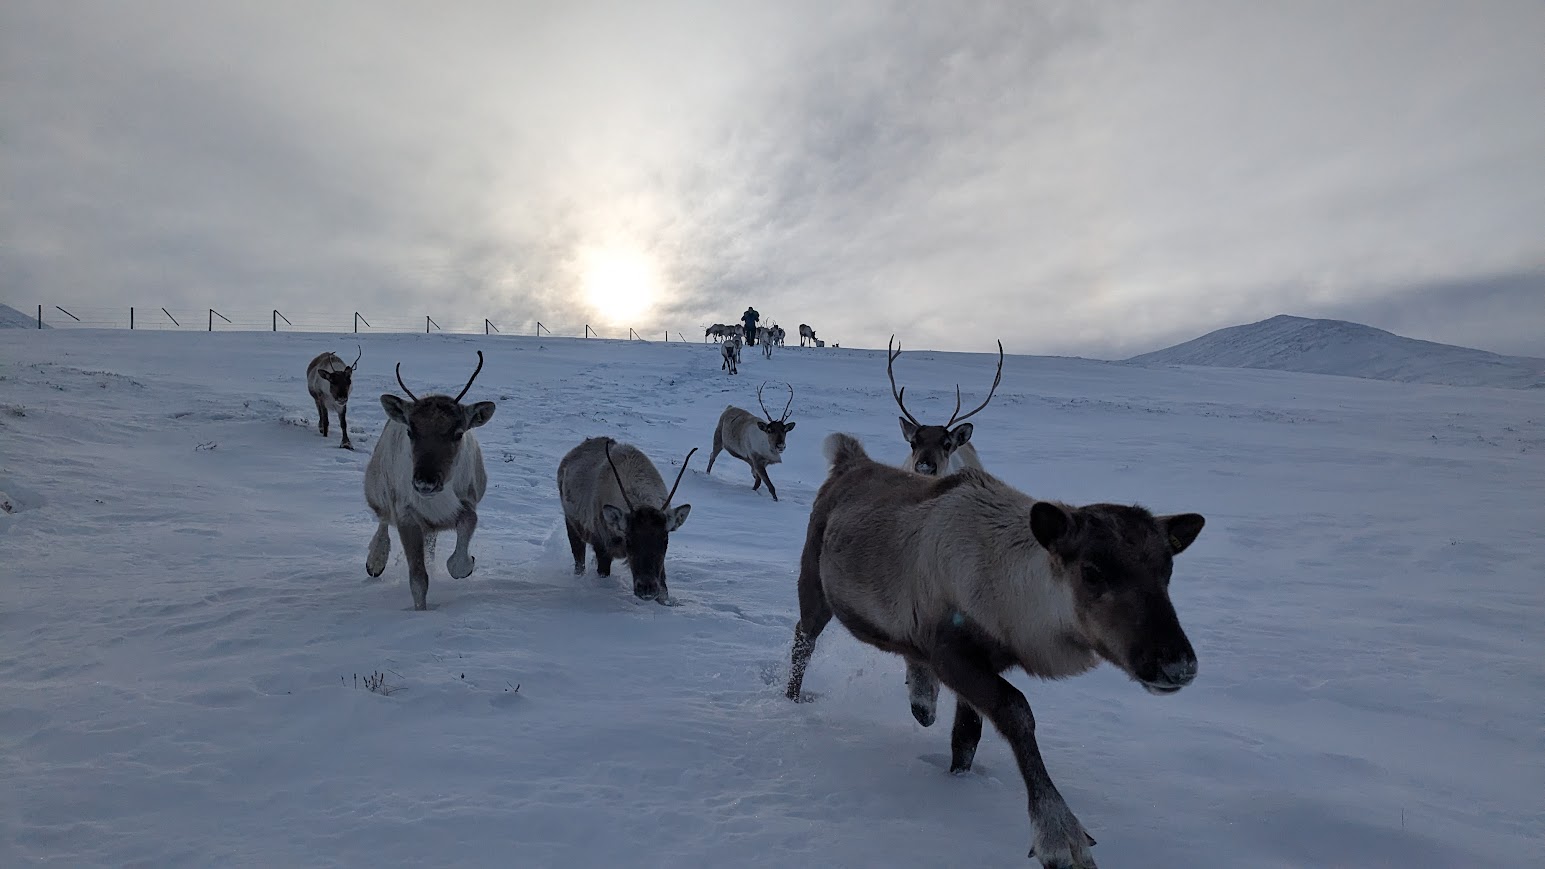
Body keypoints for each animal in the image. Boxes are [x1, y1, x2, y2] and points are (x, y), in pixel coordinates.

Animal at [363, 351, 496, 611]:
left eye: (458, 433)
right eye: (410, 431)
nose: (425, 482)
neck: (436, 501)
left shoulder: (467, 503)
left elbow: (458, 560)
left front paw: (466, 565)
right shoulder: (406, 515)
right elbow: (418, 579)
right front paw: (420, 613)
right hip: (377, 492)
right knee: (382, 522)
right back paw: (375, 562)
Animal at [557, 437, 695, 603]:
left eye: (665, 539)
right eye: (629, 540)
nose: (647, 589)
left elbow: (664, 590)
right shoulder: (602, 547)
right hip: (572, 526)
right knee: (579, 563)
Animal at [785, 431, 1206, 868]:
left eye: (1167, 571)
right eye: (1091, 572)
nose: (1178, 664)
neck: (1014, 597)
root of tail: (849, 459)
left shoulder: (984, 660)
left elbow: (967, 734)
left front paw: (959, 779)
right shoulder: (951, 653)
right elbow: (1017, 711)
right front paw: (1060, 835)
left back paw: (922, 698)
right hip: (814, 584)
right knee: (803, 639)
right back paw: (793, 701)